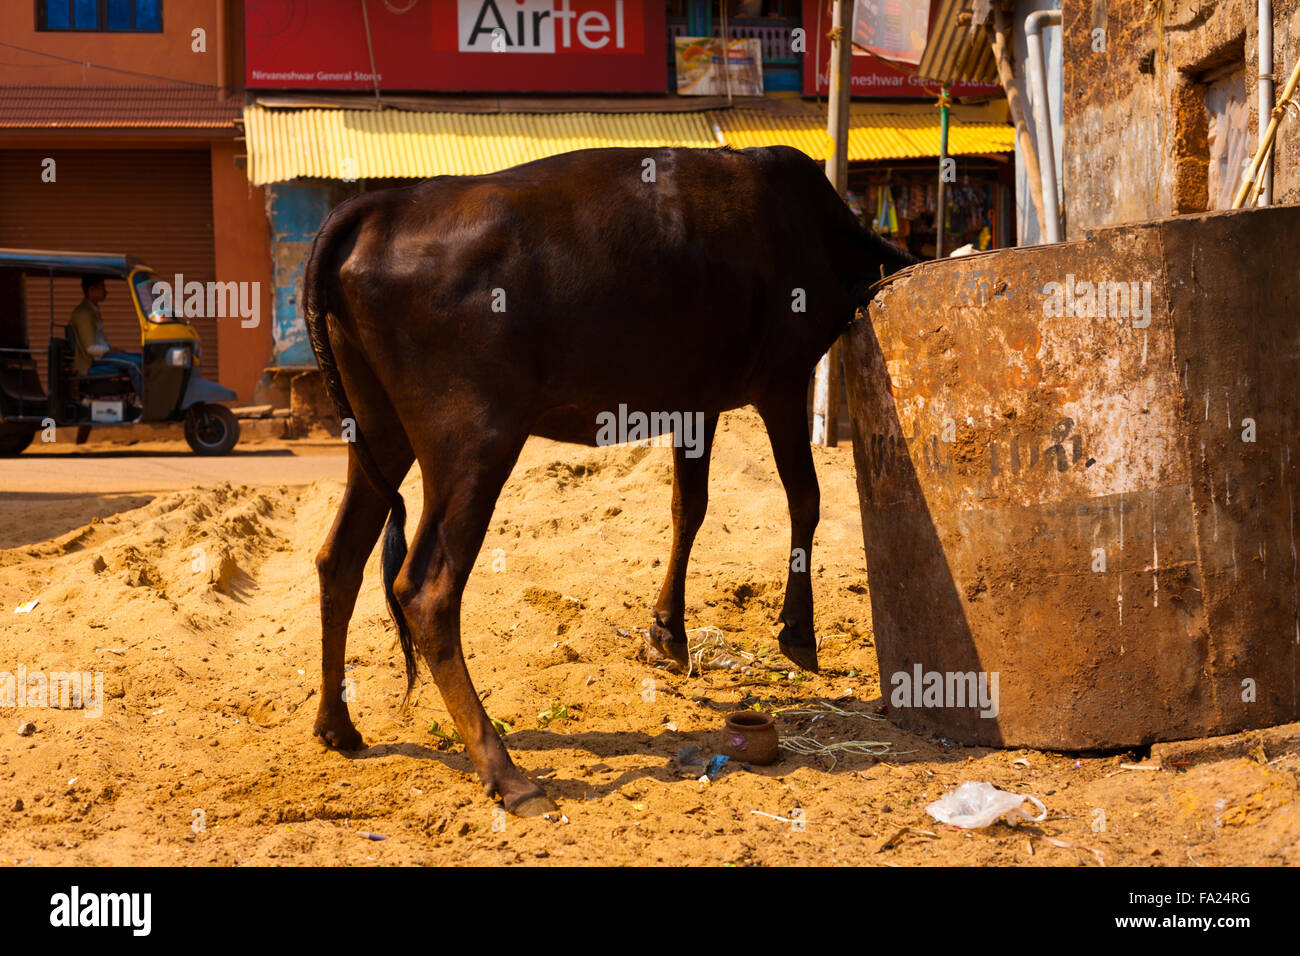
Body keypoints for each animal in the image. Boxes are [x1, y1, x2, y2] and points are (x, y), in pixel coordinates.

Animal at [302, 145, 915, 815]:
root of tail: (380, 205)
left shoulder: (696, 400)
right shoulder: (783, 377)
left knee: (340, 558)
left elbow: (689, 505)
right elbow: (805, 497)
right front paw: (798, 632)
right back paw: (506, 773)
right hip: (473, 439)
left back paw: (337, 725)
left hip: (378, 428)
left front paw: (668, 632)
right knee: (426, 590)